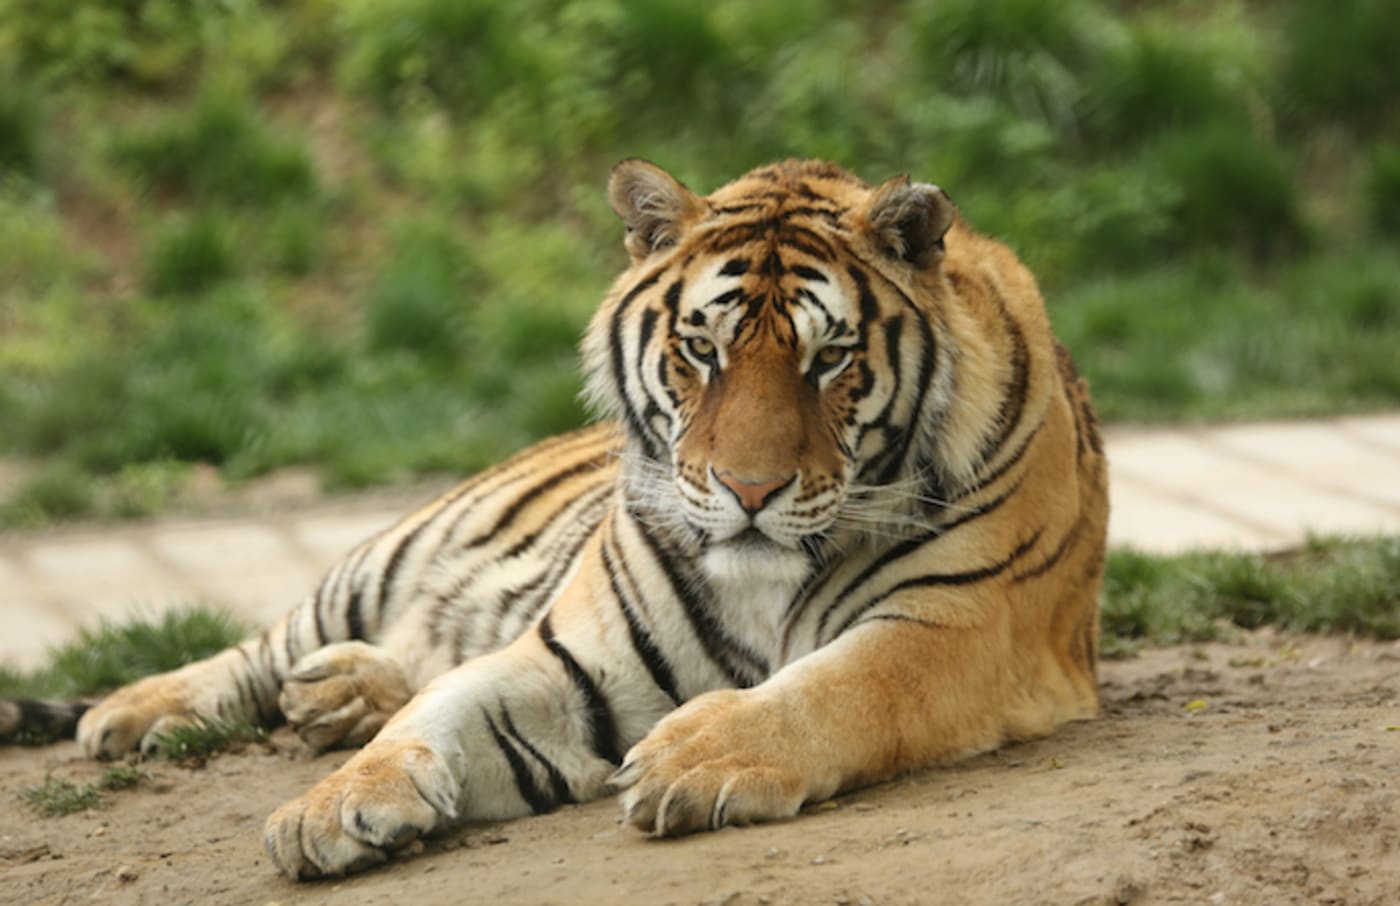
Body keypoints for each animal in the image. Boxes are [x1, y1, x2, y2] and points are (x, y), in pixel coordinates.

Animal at [28, 159, 1107, 879]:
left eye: (828, 358)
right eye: (701, 349)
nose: (749, 490)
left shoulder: (958, 624)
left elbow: (837, 687)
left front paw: (693, 757)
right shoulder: (571, 659)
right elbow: (446, 705)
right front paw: (331, 808)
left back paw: (333, 696)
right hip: (378, 561)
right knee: (263, 648)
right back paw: (142, 712)